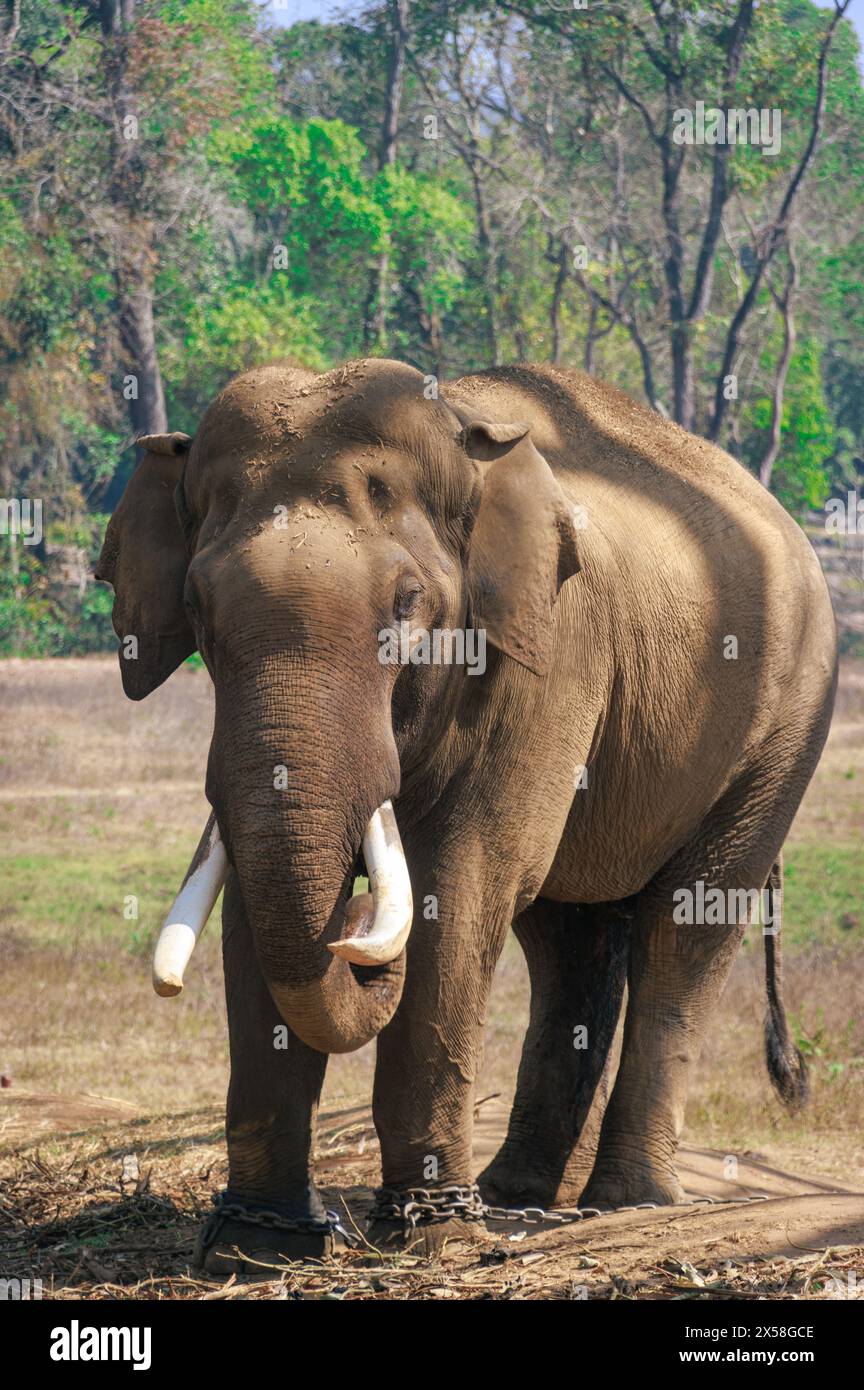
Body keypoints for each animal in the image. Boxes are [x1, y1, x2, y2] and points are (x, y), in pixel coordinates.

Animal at [96, 357, 836, 1271]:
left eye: (407, 603)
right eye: (197, 607)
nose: (353, 928)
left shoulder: (548, 654)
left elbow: (462, 889)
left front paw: (431, 1237)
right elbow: (246, 921)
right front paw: (253, 1248)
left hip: (784, 728)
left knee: (688, 923)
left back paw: (623, 1202)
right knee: (570, 939)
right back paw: (517, 1193)